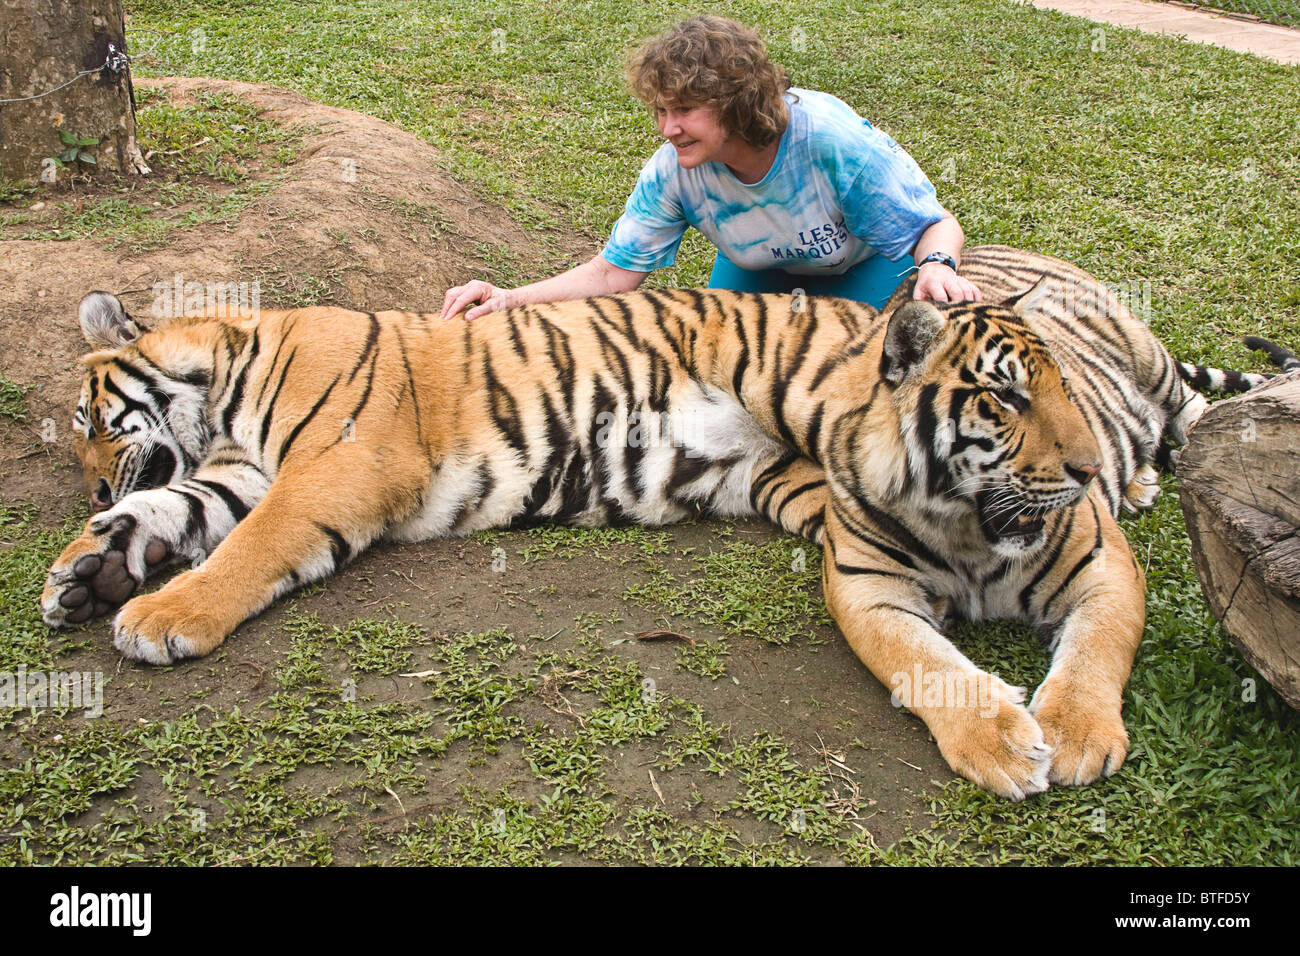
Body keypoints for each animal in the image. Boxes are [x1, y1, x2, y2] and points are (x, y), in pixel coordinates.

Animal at [40, 245, 1283, 799]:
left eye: (88, 418)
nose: (89, 488)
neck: (223, 382)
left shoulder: (336, 470)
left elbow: (244, 546)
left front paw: (156, 610)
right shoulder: (235, 469)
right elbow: (176, 504)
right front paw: (87, 568)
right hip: (796, 486)